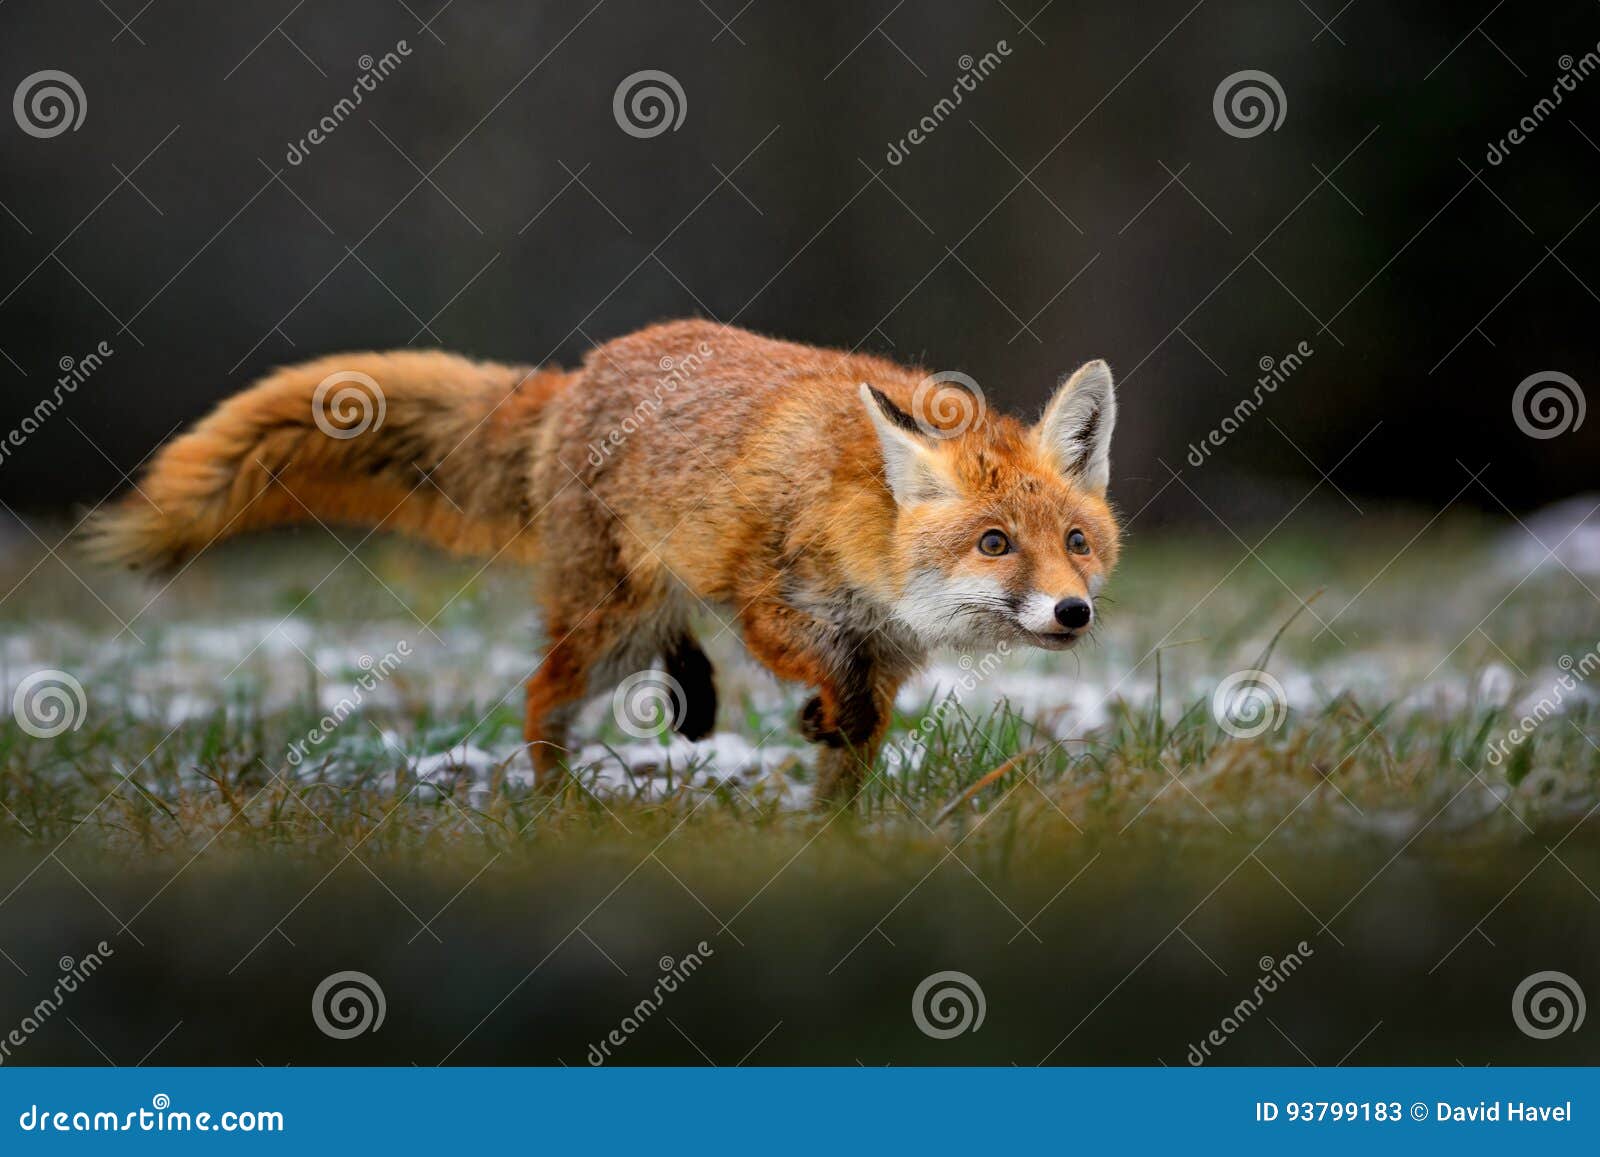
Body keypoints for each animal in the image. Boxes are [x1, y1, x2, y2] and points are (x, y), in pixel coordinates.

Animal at [84, 319, 1120, 805]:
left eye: (1076, 543)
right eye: (994, 542)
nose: (1074, 613)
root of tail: (576, 374)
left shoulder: (889, 655)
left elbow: (852, 755)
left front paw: (835, 836)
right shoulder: (770, 600)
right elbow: (832, 690)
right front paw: (816, 721)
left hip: (638, 616)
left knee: (666, 659)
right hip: (608, 627)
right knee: (541, 696)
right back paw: (562, 810)